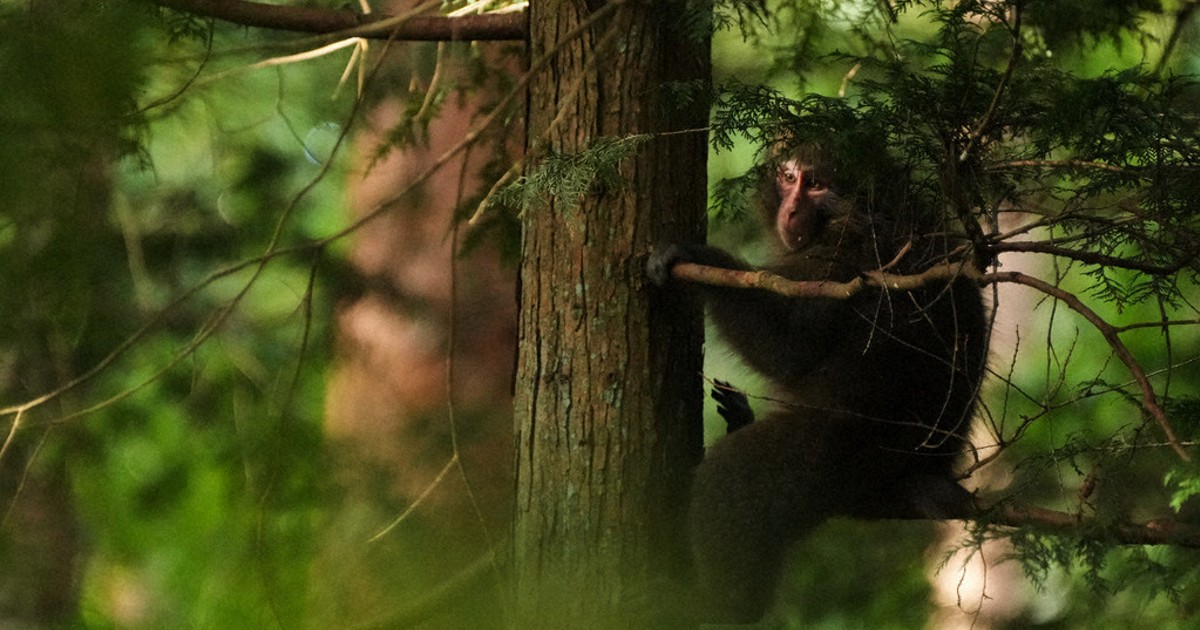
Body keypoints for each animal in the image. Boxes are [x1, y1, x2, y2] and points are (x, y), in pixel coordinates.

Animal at [646, 143, 989, 624]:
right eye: (789, 178)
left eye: (817, 184)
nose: (791, 211)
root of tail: (925, 470)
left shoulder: (848, 261)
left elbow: (788, 349)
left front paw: (695, 257)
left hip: (844, 457)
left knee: (738, 473)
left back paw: (725, 603)